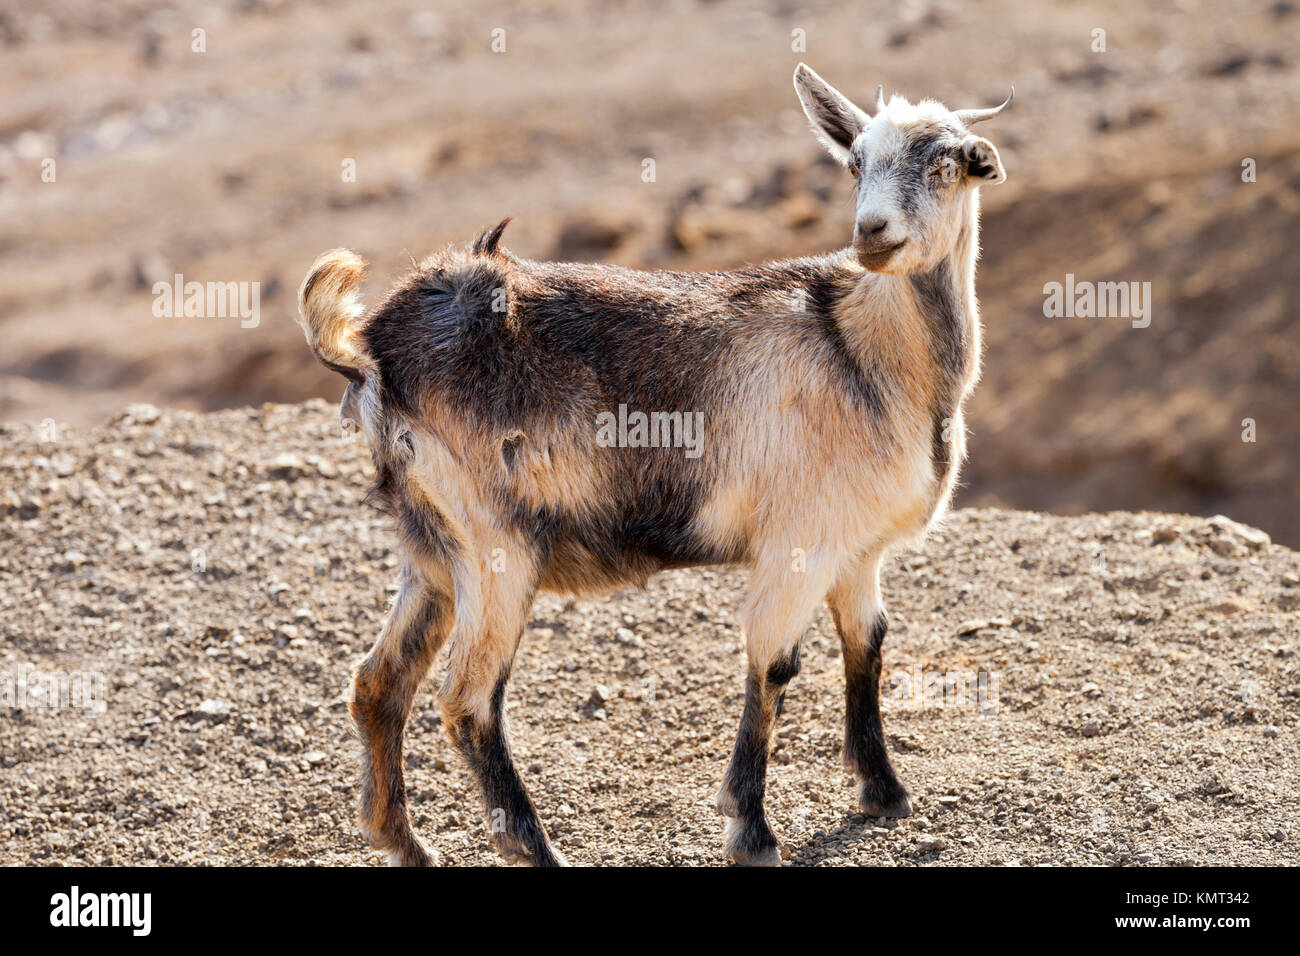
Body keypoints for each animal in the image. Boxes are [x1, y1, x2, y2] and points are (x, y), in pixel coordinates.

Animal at [296, 64, 1011, 866]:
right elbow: (773, 664)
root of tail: (372, 351)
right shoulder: (798, 544)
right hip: (497, 548)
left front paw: (883, 791)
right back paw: (534, 848)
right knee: (468, 702)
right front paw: (750, 827)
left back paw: (405, 844)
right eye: (855, 163)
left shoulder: (857, 552)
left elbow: (867, 646)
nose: (873, 233)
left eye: (946, 165)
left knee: (378, 682)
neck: (865, 351)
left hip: (432, 552)